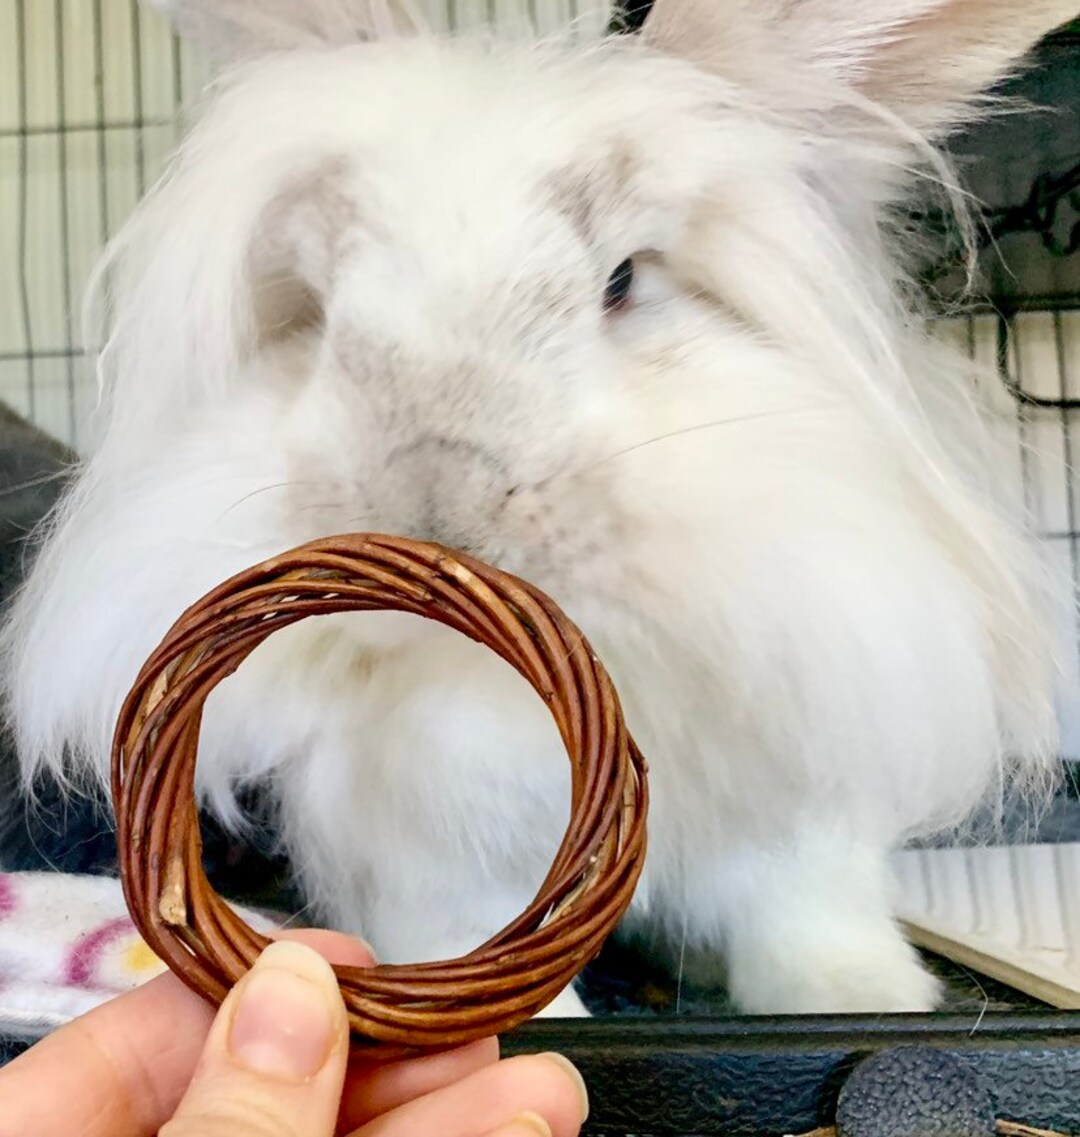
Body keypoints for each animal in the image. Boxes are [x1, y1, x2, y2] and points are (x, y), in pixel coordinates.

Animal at [4, 0, 1078, 1018]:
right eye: (320, 307)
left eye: (623, 280)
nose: (430, 505)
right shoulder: (430, 858)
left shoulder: (804, 809)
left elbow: (807, 923)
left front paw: (865, 993)